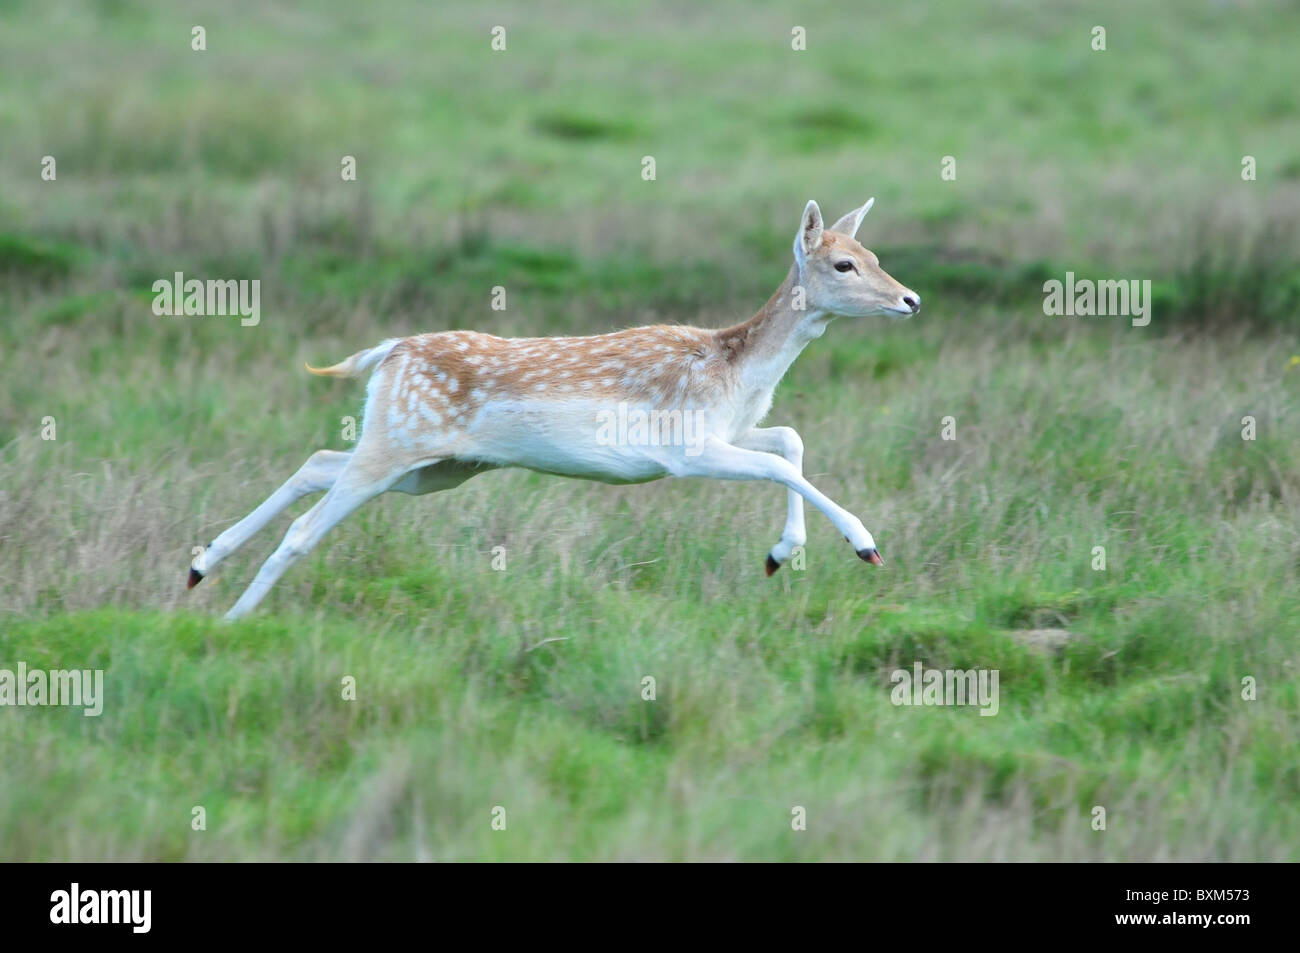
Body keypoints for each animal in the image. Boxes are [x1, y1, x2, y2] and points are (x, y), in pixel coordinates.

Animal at [188, 198, 920, 620]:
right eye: (845, 265)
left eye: (875, 254)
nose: (911, 299)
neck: (736, 372)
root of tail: (388, 352)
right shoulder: (684, 447)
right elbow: (782, 465)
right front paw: (864, 544)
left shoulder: (733, 430)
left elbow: (790, 440)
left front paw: (778, 554)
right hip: (401, 442)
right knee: (306, 526)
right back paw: (230, 620)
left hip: (434, 466)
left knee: (318, 461)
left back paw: (200, 567)